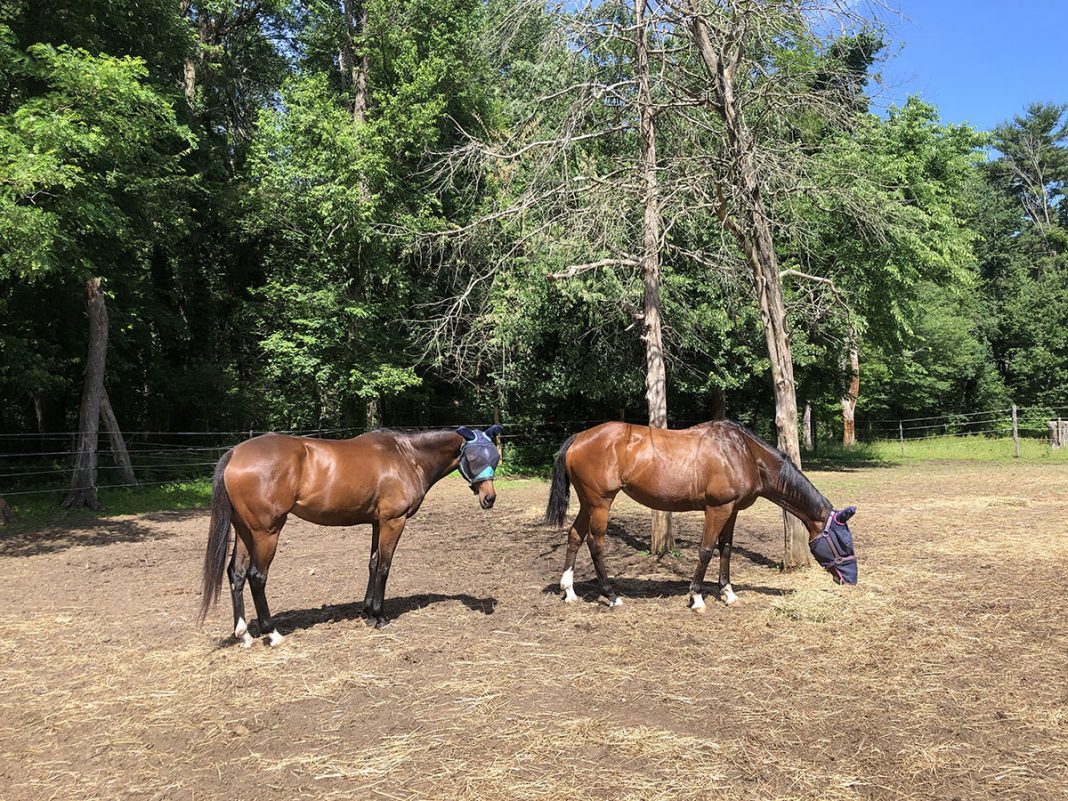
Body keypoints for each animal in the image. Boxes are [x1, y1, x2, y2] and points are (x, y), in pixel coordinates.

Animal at [199, 424, 503, 643]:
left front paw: (367, 611)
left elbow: (372, 564)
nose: (489, 498)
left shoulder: (377, 522)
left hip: (244, 530)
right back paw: (272, 633)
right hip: (266, 531)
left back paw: (244, 634)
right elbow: (384, 567)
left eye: (496, 457)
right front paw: (379, 616)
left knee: (236, 574)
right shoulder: (393, 521)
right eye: (473, 457)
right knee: (256, 576)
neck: (407, 456)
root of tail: (236, 453)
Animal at [543, 420, 857, 610]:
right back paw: (611, 595)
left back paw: (569, 591)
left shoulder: (732, 510)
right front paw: (696, 597)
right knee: (595, 544)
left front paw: (728, 593)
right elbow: (706, 550)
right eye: (843, 542)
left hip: (588, 503)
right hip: (600, 503)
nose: (851, 579)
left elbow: (726, 548)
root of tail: (579, 438)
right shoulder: (717, 509)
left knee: (574, 535)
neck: (743, 453)